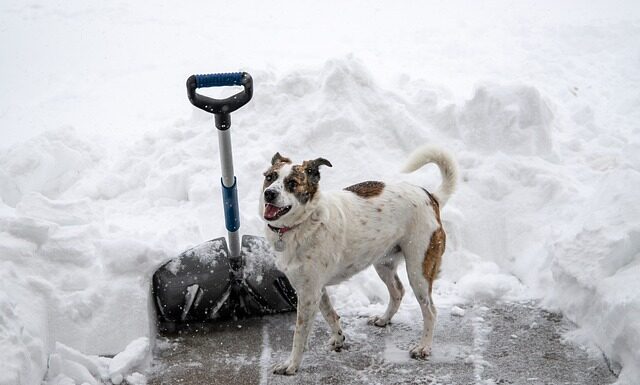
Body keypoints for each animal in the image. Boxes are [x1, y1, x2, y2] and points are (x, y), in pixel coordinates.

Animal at [258, 144, 458, 372]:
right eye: (269, 177)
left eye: (292, 183)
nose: (269, 193)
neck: (304, 222)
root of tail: (431, 196)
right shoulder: (316, 288)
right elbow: (329, 314)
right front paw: (338, 339)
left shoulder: (309, 293)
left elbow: (299, 334)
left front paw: (291, 365)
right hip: (384, 263)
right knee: (397, 291)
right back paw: (384, 319)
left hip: (419, 270)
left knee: (430, 311)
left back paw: (424, 347)